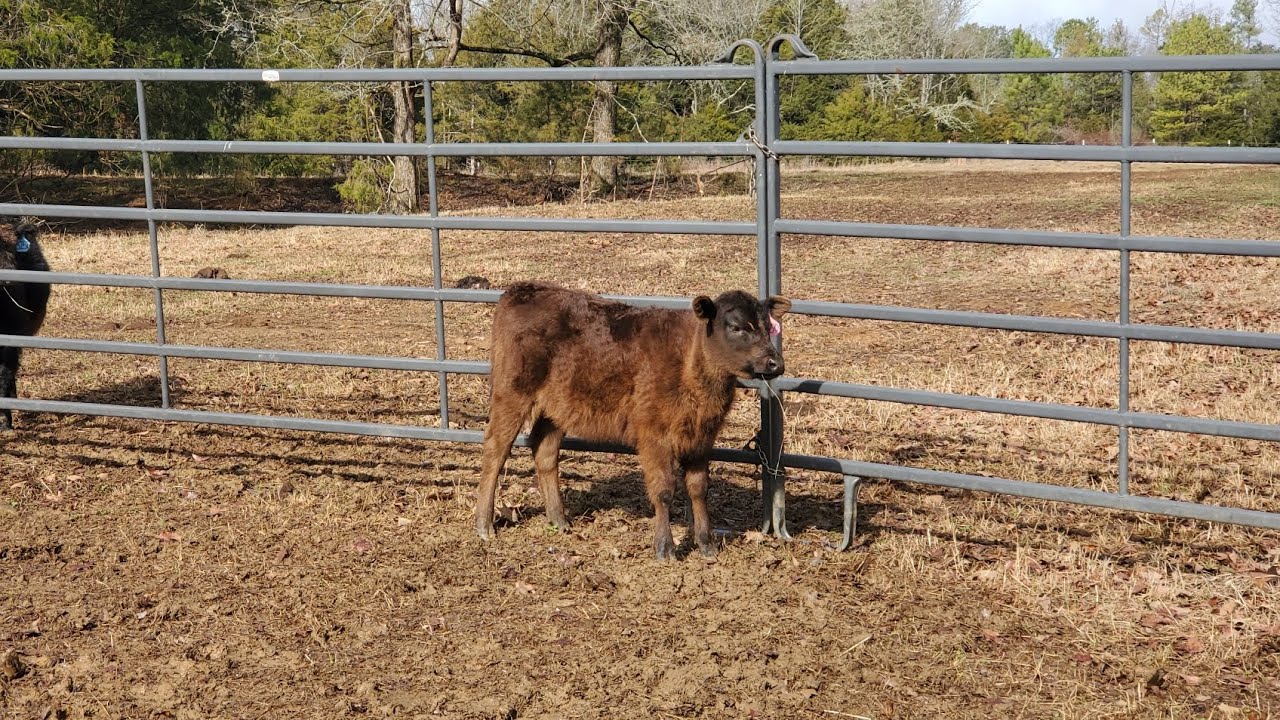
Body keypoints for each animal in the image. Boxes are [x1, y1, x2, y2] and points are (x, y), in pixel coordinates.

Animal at [474, 281, 791, 560]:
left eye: (768, 326)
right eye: (735, 327)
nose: (775, 363)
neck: (690, 364)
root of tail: (521, 290)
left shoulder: (702, 438)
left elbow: (699, 489)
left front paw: (706, 545)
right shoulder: (654, 436)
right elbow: (664, 490)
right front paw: (665, 548)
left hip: (556, 407)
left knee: (545, 450)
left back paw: (559, 520)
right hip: (512, 393)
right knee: (495, 450)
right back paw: (484, 524)